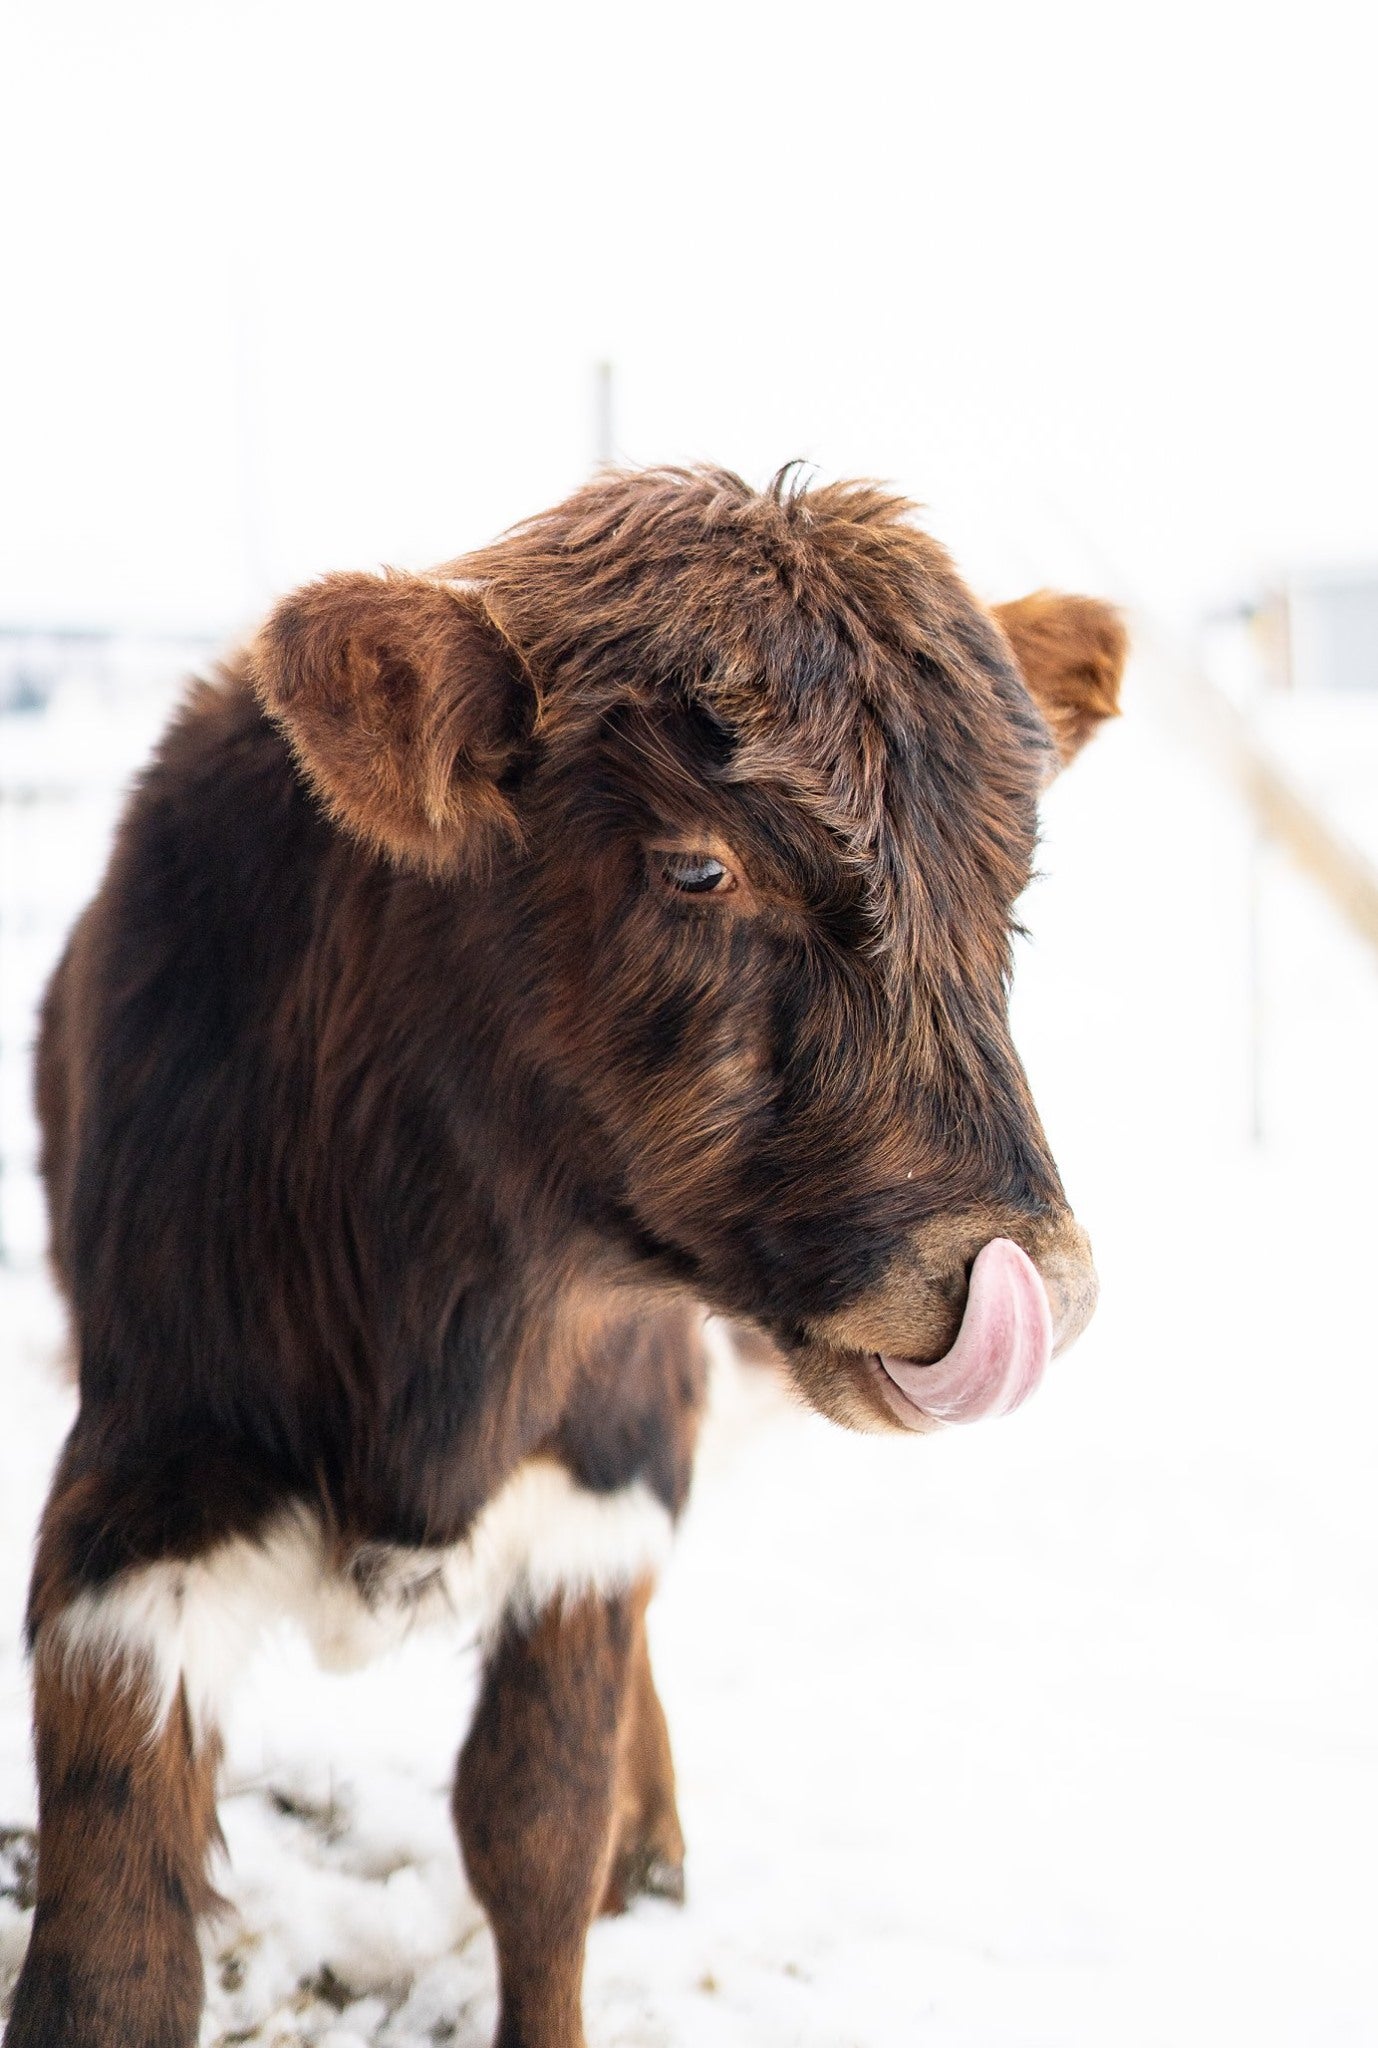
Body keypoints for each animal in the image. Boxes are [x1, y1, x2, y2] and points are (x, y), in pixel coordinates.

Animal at [3, 465, 1124, 2048]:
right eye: (697, 864)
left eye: (1012, 869)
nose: (1026, 1281)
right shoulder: (133, 1503)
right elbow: (114, 1941)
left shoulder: (603, 1488)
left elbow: (538, 1834)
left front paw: (606, 1845)